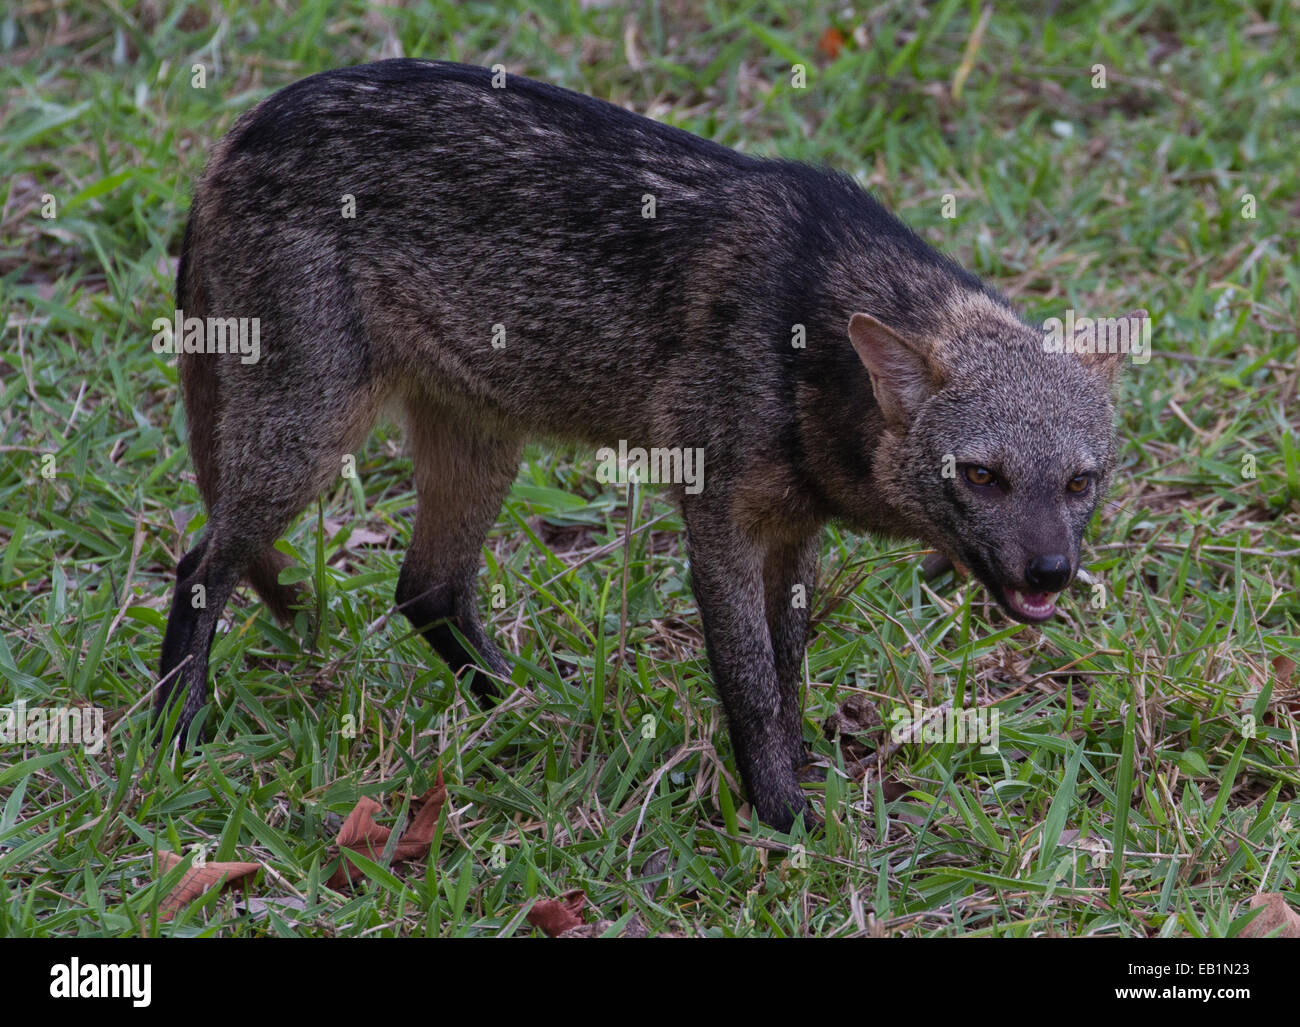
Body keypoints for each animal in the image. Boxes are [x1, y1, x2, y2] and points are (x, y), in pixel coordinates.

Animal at [155, 58, 1139, 832]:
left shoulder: (793, 531)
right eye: (980, 475)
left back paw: (534, 716)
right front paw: (783, 817)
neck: (806, 333)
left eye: (1080, 483)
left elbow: (787, 671)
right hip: (311, 440)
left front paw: (799, 777)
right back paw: (175, 729)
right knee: (201, 563)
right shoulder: (717, 520)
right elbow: (749, 681)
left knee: (426, 589)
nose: (1052, 572)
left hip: (479, 449)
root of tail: (234, 137)